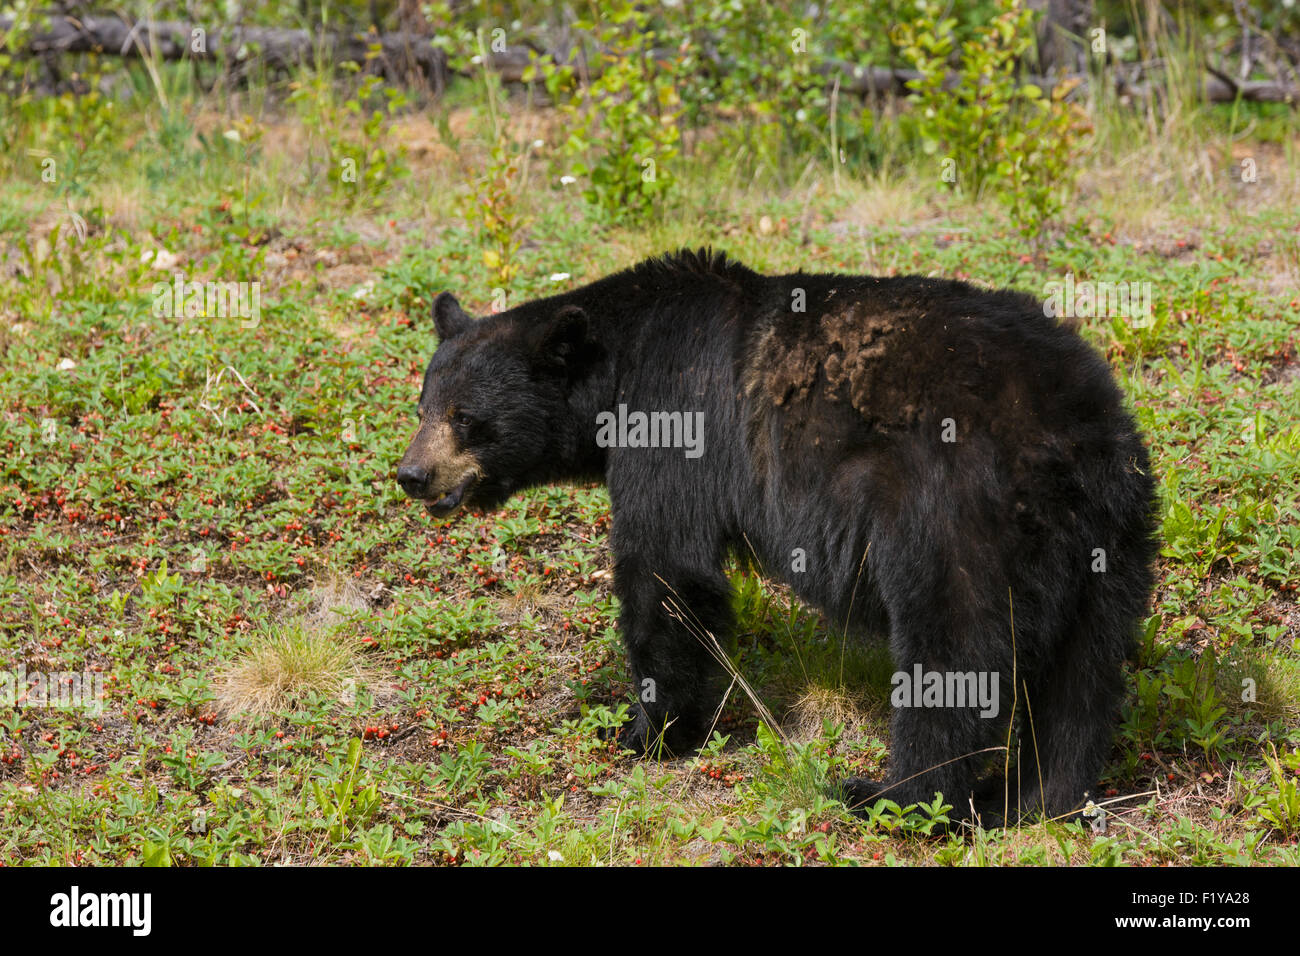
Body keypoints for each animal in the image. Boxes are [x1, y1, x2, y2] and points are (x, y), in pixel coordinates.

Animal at [395, 249, 1158, 823]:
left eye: (467, 418)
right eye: (423, 405)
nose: (412, 475)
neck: (618, 363)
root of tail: (1071, 431)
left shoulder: (673, 417)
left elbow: (667, 571)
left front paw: (648, 731)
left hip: (950, 509)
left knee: (954, 646)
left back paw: (894, 795)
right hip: (1112, 534)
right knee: (1086, 670)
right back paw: (1038, 797)